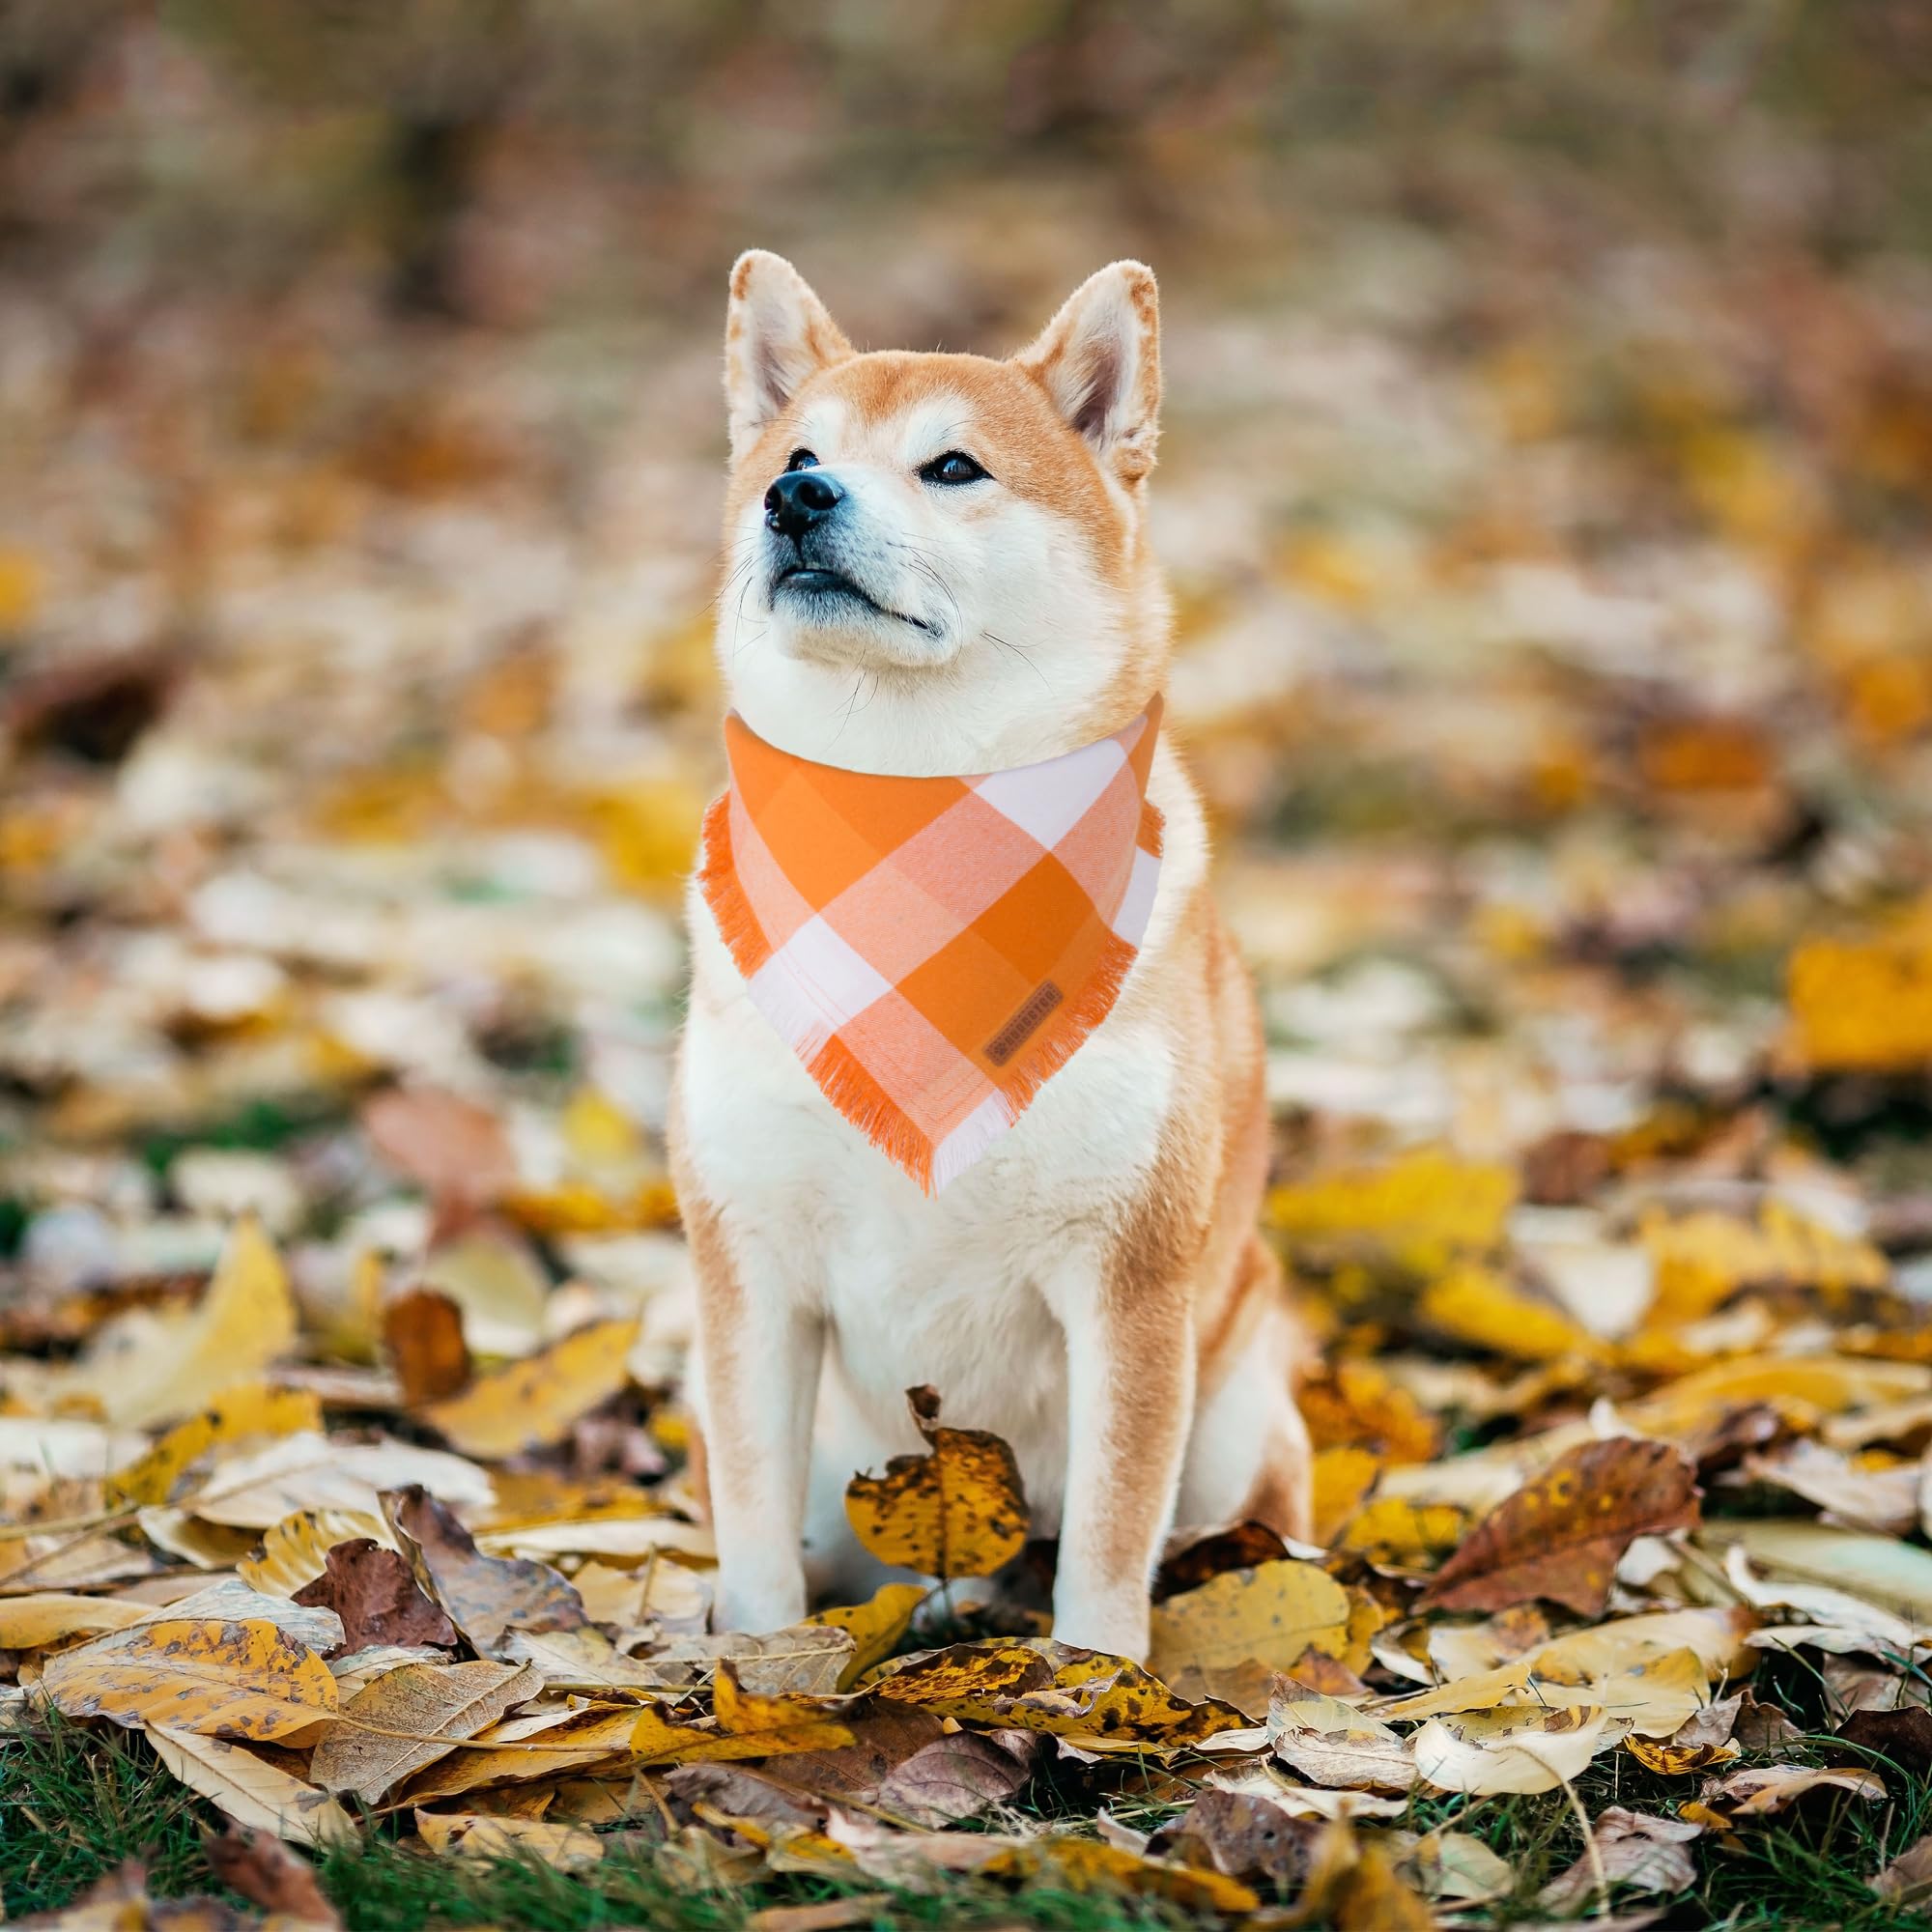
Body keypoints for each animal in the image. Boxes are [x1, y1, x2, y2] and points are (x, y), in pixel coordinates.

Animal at [672, 245, 1321, 1662]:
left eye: (954, 465)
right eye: (797, 454)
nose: (797, 498)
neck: (915, 833)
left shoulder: (1129, 1285)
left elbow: (1112, 1544)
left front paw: (1100, 1684)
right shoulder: (748, 1265)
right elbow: (750, 1530)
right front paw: (756, 1670)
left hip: (1233, 1412)